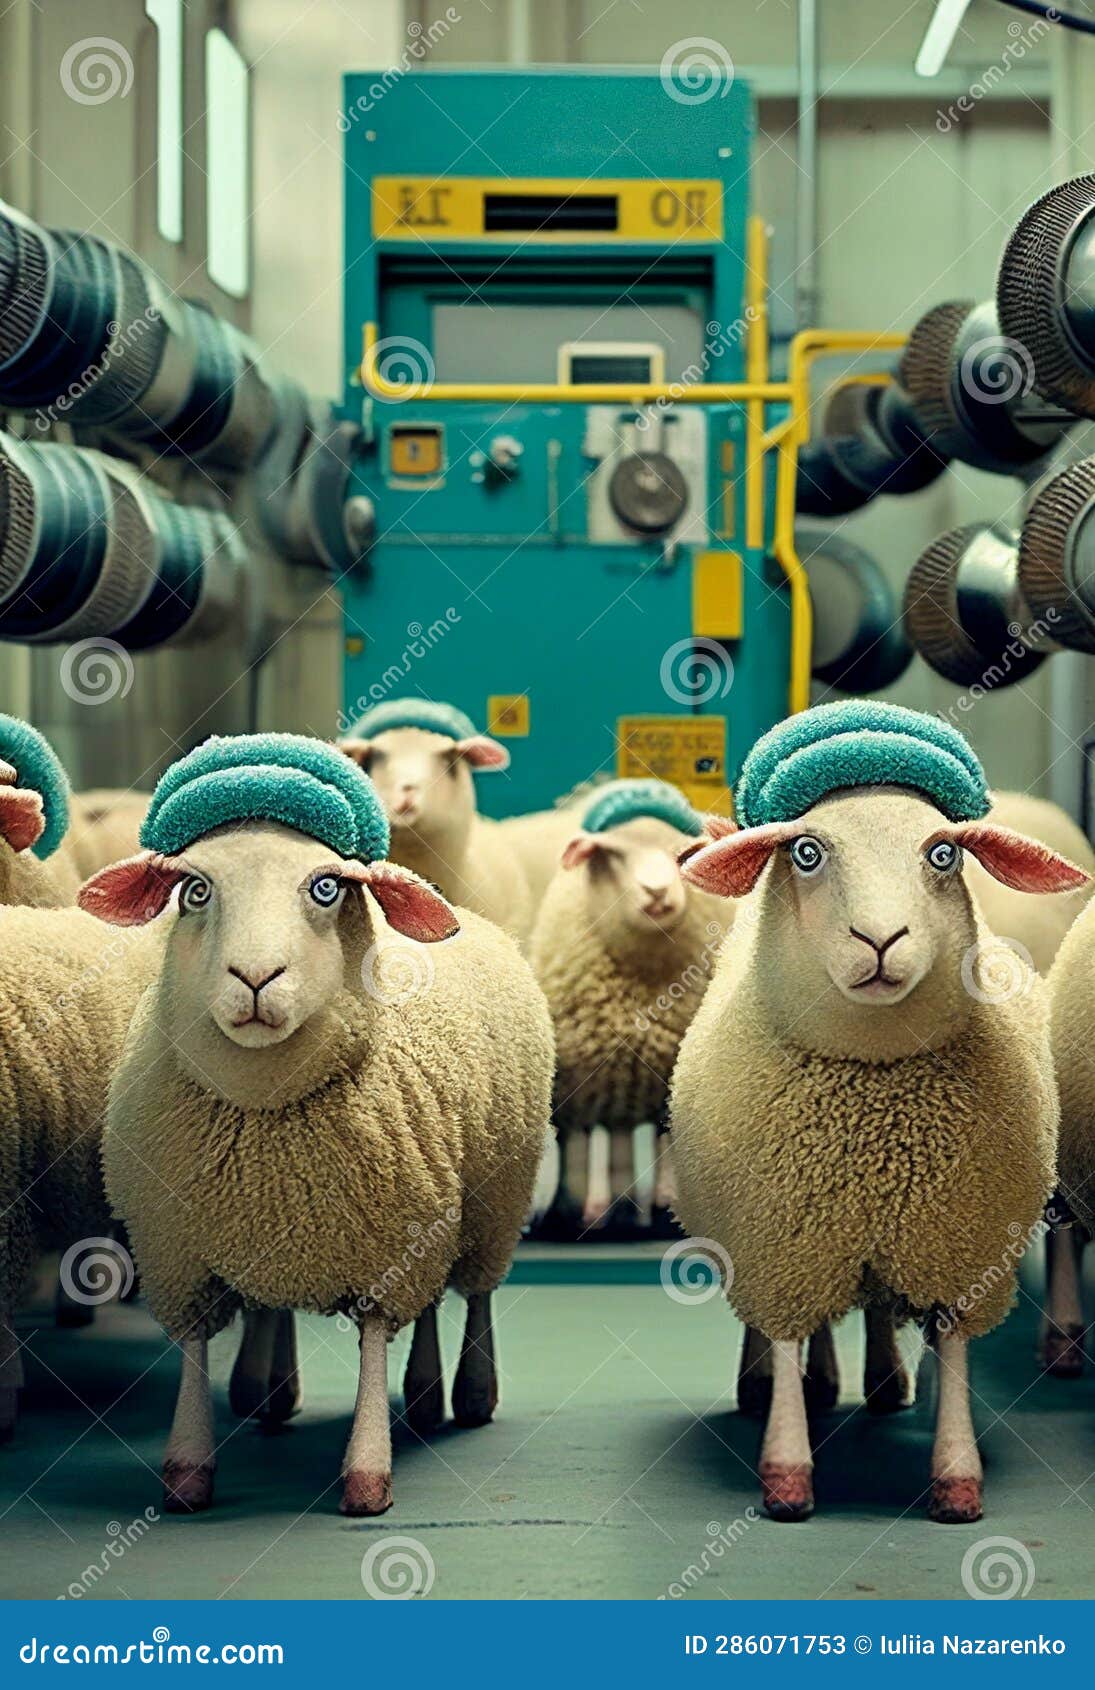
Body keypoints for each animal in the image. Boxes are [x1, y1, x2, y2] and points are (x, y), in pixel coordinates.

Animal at [79, 731, 554, 1516]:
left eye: (327, 887)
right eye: (195, 890)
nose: (255, 977)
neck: (267, 1117)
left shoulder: (390, 1241)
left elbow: (372, 1346)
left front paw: (367, 1474)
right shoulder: (179, 1252)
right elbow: (192, 1351)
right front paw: (187, 1468)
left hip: (489, 1198)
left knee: (474, 1292)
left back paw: (464, 1396)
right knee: (302, 1306)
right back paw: (280, 1392)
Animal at [529, 778, 730, 1236]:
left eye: (683, 855)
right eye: (614, 854)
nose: (657, 891)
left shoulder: (667, 1078)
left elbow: (664, 1141)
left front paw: (666, 1211)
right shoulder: (581, 1080)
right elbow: (579, 1143)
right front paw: (566, 1214)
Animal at [669, 700, 1085, 1523]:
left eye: (942, 854)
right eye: (805, 851)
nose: (881, 939)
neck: (874, 1111)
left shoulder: (957, 1246)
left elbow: (951, 1346)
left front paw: (956, 1478)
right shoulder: (783, 1246)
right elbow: (786, 1337)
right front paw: (786, 1474)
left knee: (875, 1310)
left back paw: (887, 1383)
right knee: (785, 1326)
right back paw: (771, 1384)